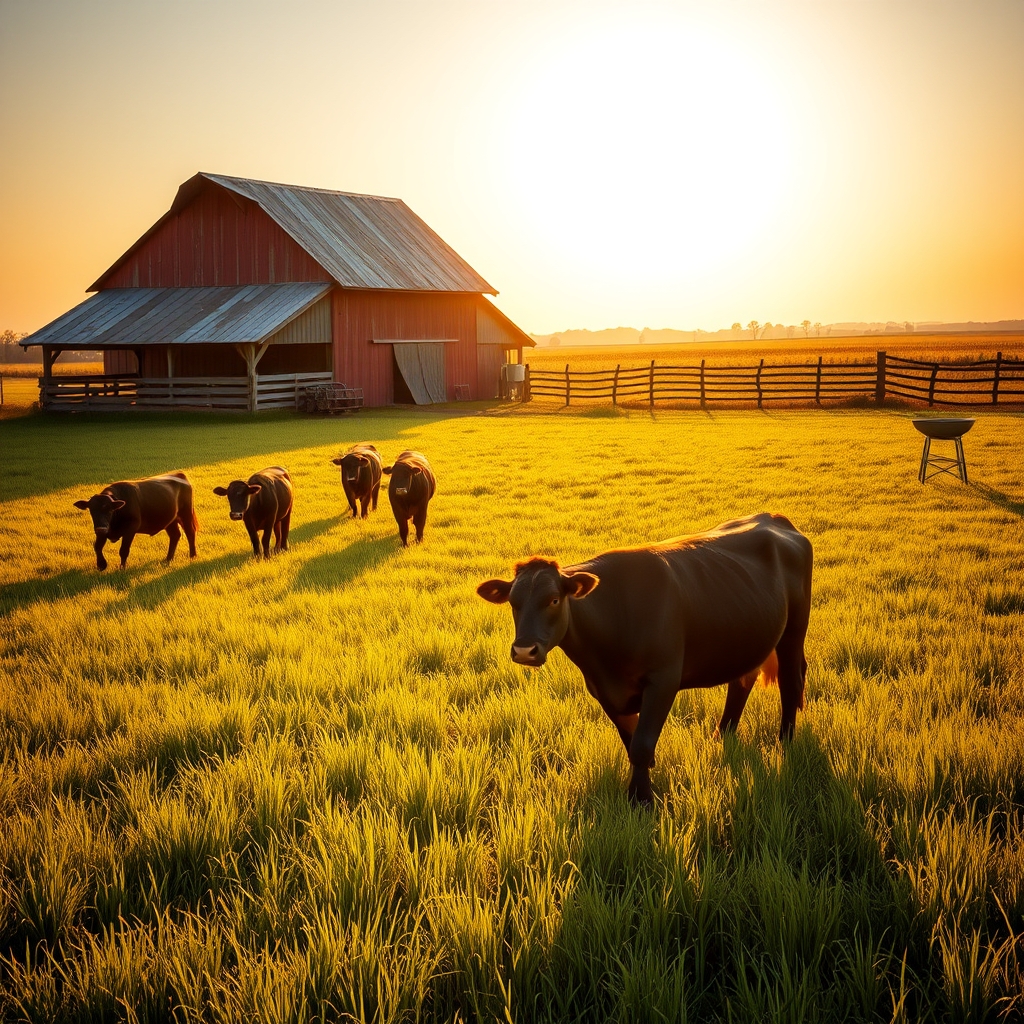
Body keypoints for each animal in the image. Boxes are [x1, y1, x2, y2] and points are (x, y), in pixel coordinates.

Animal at [476, 513, 813, 806]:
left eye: (554, 600)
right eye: (514, 603)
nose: (524, 651)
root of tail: (774, 518)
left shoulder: (663, 680)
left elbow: (641, 743)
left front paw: (641, 799)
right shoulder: (604, 691)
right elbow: (631, 741)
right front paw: (645, 780)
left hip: (794, 630)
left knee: (790, 681)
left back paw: (785, 742)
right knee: (742, 680)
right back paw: (722, 734)